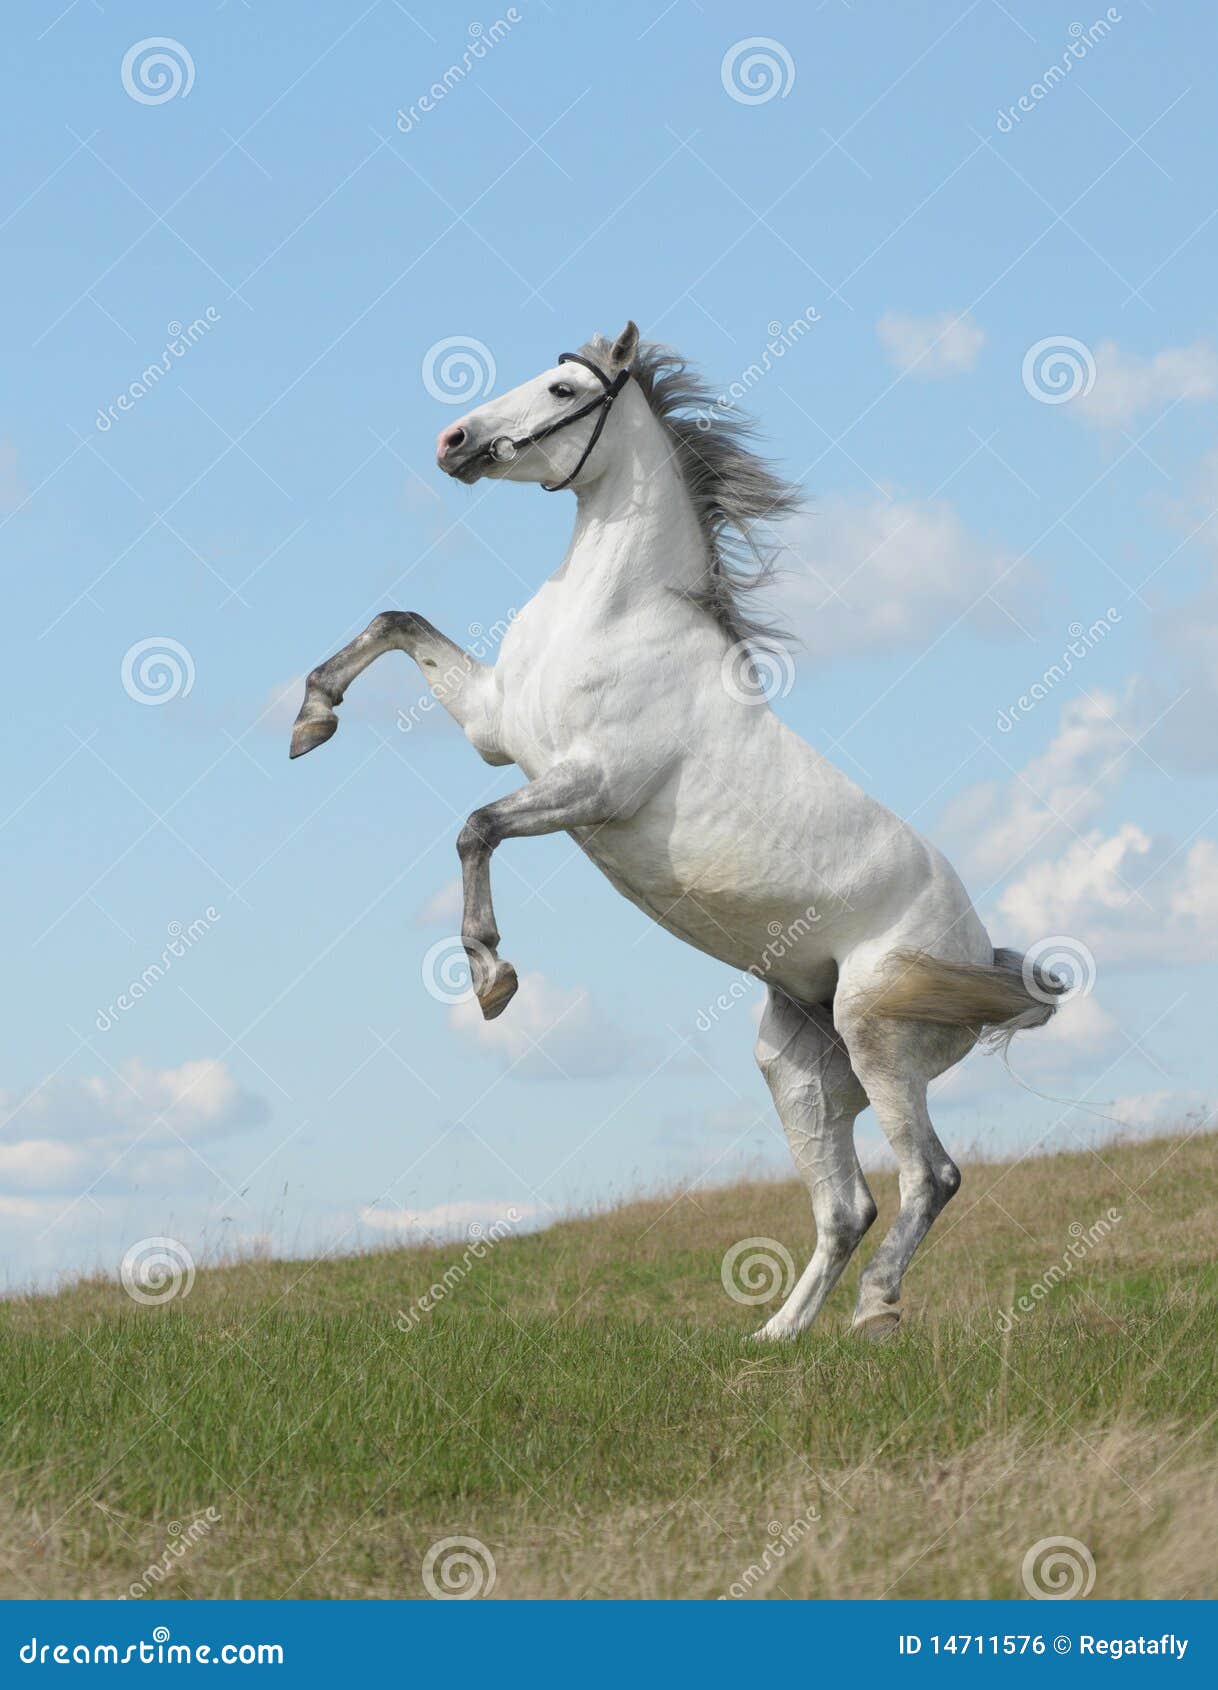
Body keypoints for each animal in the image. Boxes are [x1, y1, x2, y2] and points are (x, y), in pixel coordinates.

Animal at [290, 321, 1066, 1340]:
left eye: (564, 388)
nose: (454, 442)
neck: (612, 615)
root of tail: (980, 950)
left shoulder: (590, 787)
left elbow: (474, 829)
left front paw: (493, 978)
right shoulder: (497, 732)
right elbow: (397, 621)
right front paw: (311, 718)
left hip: (878, 1036)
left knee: (930, 1177)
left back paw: (874, 1312)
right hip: (800, 1064)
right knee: (846, 1205)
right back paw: (776, 1338)